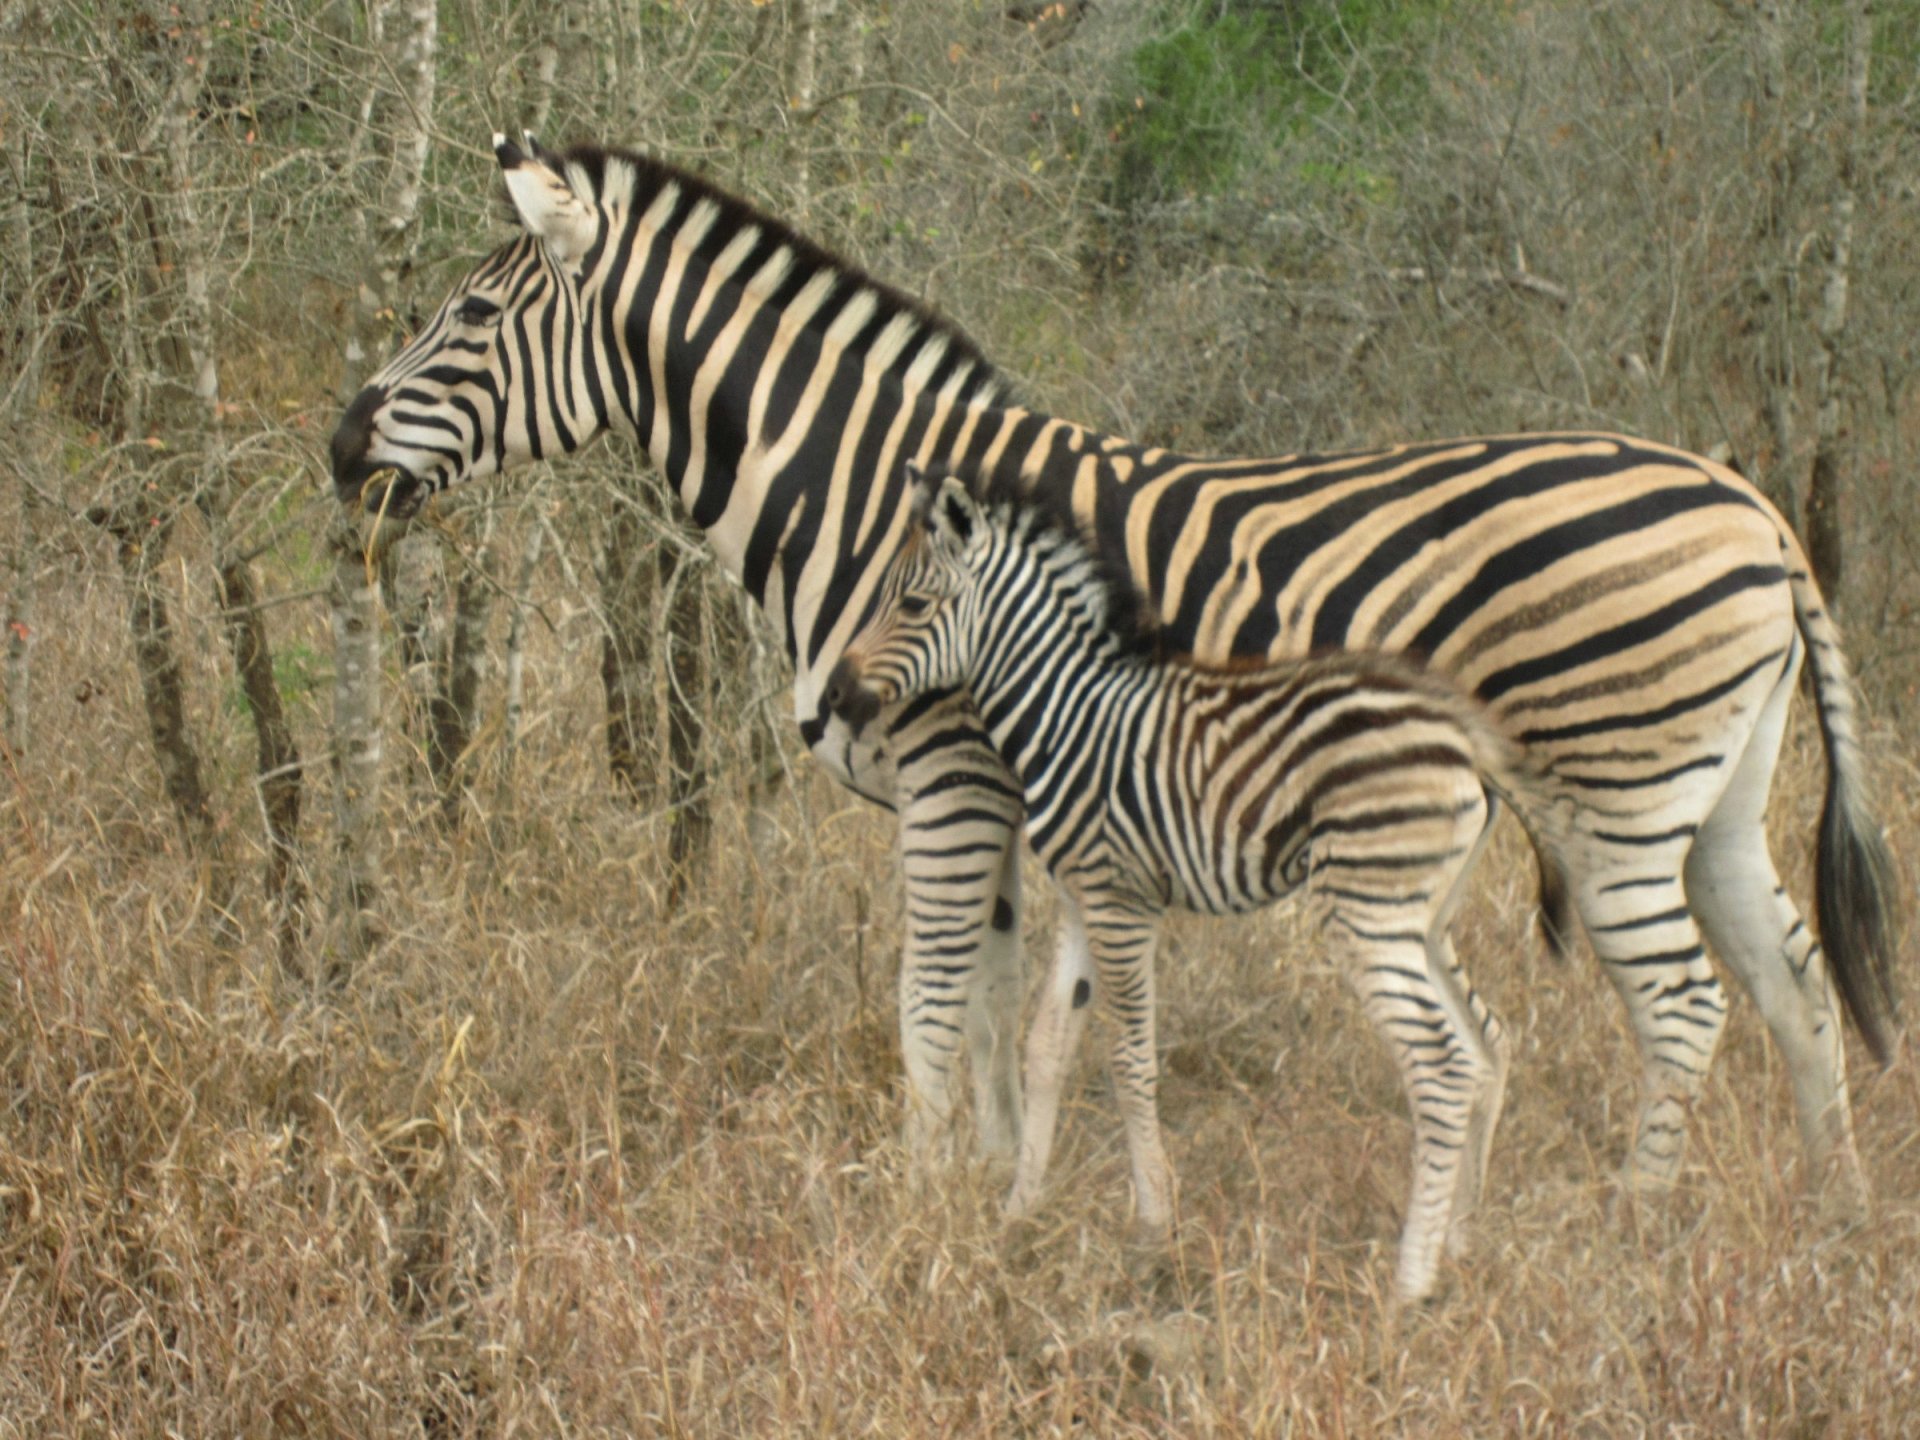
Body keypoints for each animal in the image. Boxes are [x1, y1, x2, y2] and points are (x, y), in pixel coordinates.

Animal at [329, 132, 1898, 1204]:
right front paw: (993, 1199)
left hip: (1614, 791)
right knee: (1795, 981)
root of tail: (1748, 499)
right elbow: (997, 1014)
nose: (340, 448)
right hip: (1711, 793)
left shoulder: (949, 776)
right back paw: (1827, 1213)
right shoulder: (1000, 801)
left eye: (471, 320)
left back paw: (1645, 1225)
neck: (864, 496)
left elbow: (928, 1008)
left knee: (1687, 1002)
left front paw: (917, 1214)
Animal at [825, 461, 1575, 1300]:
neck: (1066, 713)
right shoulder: (1083, 896)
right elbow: (1046, 1046)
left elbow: (1129, 1062)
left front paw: (1154, 1225)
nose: (836, 697)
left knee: (1442, 1067)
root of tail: (1463, 735)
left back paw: (1409, 1282)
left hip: (1367, 911)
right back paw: (1460, 1241)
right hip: (1419, 916)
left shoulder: (1123, 901)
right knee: (1484, 1045)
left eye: (913, 604)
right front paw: (1020, 1207)